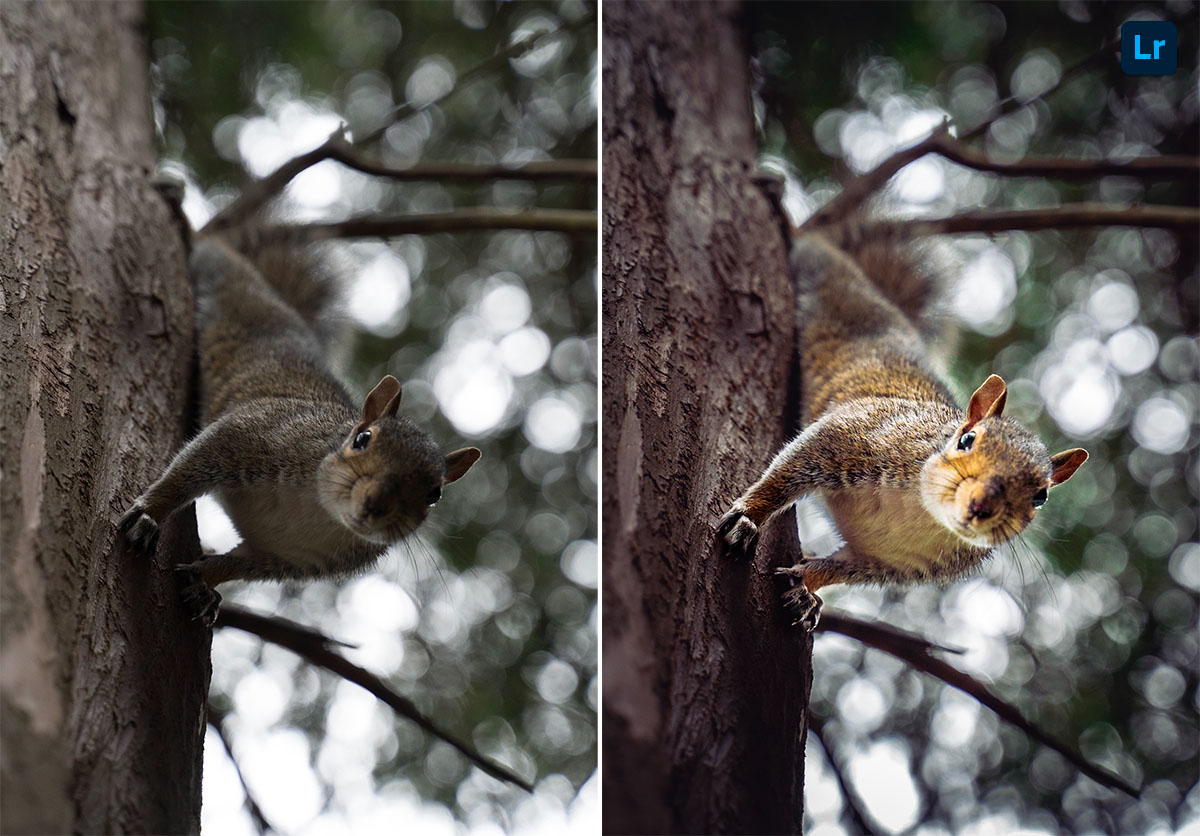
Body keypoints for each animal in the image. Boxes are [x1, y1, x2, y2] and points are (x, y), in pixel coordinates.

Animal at [119, 236, 481, 625]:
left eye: (434, 494)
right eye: (362, 439)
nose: (375, 504)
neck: (320, 510)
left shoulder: (291, 557)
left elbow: (238, 566)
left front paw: (204, 582)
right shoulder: (256, 434)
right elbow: (187, 472)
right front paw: (149, 513)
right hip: (224, 277)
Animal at [717, 231, 1088, 630]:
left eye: (1040, 497)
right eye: (966, 440)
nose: (981, 505)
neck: (922, 513)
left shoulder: (890, 562)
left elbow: (838, 569)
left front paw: (805, 588)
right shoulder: (860, 434)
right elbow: (788, 471)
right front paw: (749, 516)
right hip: (827, 276)